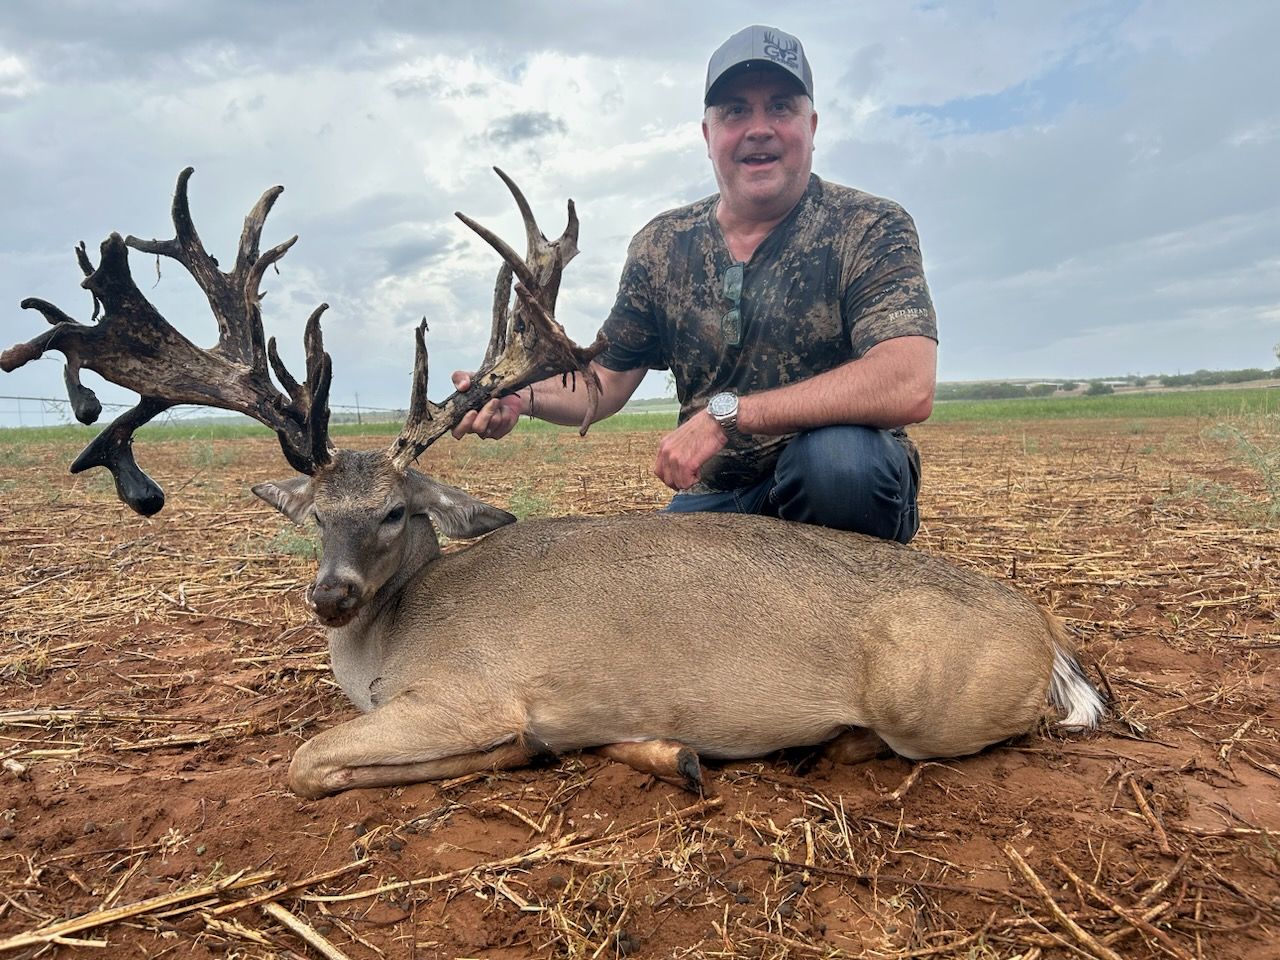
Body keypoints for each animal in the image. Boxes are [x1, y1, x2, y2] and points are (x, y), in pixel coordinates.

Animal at [2, 168, 1106, 799]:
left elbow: (308, 764)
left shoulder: (467, 693)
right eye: (313, 518)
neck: (388, 646)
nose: (330, 595)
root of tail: (1046, 628)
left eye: (395, 510)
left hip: (931, 701)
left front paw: (528, 751)